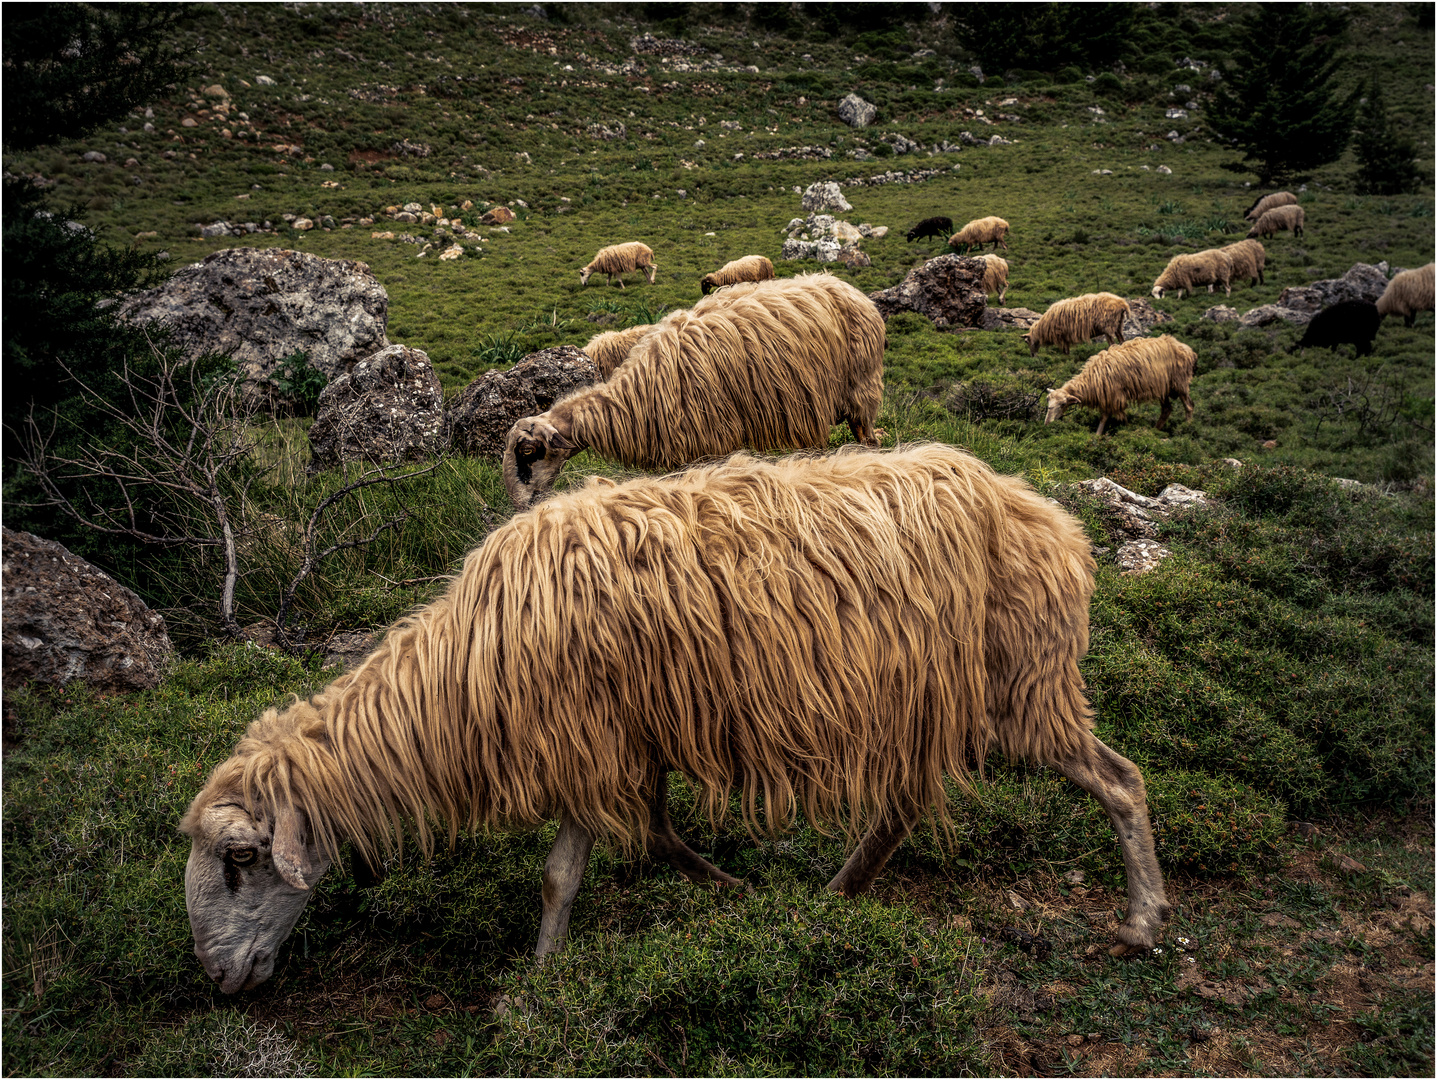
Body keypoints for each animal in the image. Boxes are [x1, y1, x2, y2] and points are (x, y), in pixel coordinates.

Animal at [180, 442, 1172, 993]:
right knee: (902, 808)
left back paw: (1142, 919)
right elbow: (617, 853)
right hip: (941, 699)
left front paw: (544, 983)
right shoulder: (614, 743)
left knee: (1119, 781)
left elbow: (576, 871)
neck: (463, 674)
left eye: (240, 861)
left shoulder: (590, 741)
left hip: (1018, 688)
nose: (219, 980)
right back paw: (837, 893)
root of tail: (1051, 519)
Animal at [502, 273, 886, 511]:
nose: (520, 507)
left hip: (861, 385)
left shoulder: (712, 439)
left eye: (527, 451)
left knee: (866, 435)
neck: (632, 399)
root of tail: (842, 283)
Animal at [1045, 335, 1197, 437]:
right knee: (1166, 409)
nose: (1047, 423)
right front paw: (1098, 435)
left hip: (1180, 383)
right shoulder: (1107, 396)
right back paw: (1155, 430)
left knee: (1188, 406)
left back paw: (1188, 429)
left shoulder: (1115, 396)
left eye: (1063, 404)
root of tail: (1188, 349)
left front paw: (1125, 431)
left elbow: (1115, 417)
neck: (1093, 378)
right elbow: (1106, 417)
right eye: (1048, 402)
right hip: (1162, 387)